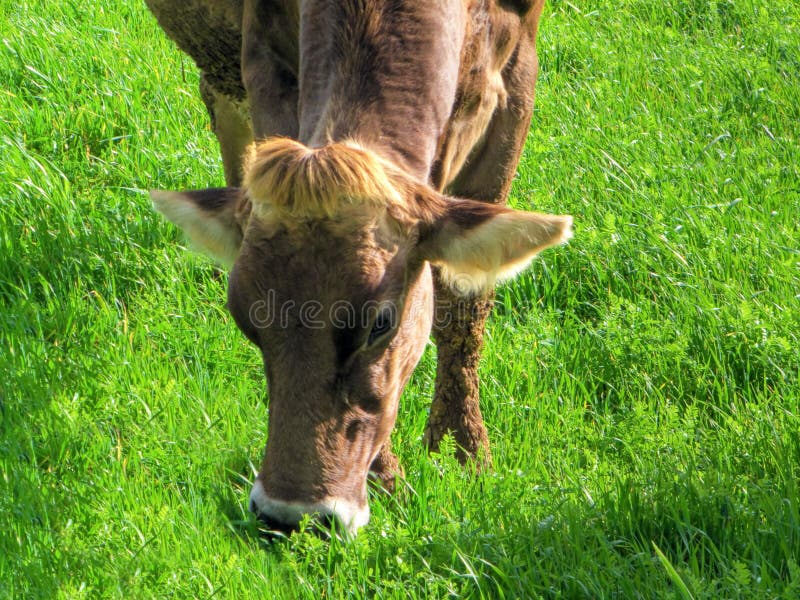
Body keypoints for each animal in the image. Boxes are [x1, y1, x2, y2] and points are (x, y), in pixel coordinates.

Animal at [146, 0, 571, 536]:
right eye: (243, 320)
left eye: (381, 323)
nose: (292, 517)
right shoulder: (267, 54)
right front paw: (388, 482)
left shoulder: (518, 72)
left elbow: (465, 303)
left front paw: (461, 451)